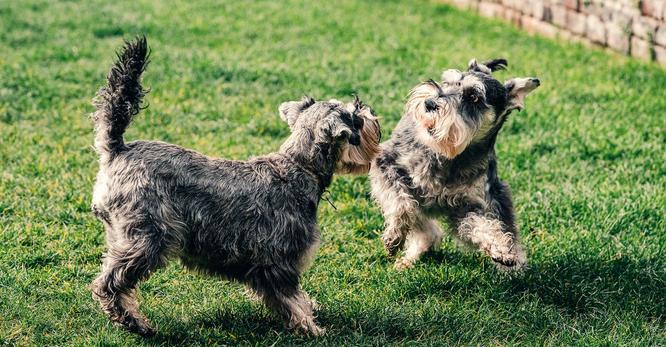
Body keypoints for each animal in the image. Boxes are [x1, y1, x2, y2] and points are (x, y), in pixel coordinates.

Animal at [88, 37, 378, 338]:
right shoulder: (280, 261)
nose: (366, 108)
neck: (299, 166)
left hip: (122, 236)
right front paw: (311, 328)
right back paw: (135, 322)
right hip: (148, 239)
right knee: (110, 283)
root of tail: (117, 150)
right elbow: (291, 298)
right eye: (353, 116)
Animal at [366, 59, 544, 272]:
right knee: (422, 224)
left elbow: (481, 224)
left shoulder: (472, 205)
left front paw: (501, 248)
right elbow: (402, 203)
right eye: (448, 82)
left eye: (474, 96)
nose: (430, 103)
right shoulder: (386, 164)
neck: (450, 157)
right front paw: (394, 236)